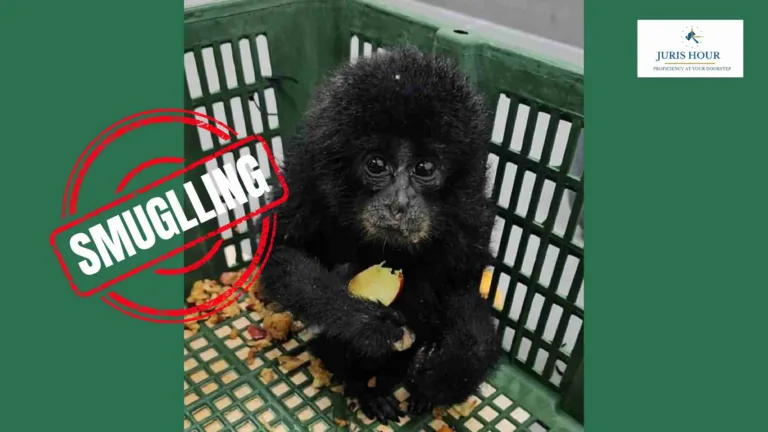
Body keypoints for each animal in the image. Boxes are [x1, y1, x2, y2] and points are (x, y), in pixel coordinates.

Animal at [259, 46, 502, 424]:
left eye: (424, 168)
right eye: (376, 164)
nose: (399, 203)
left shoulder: (471, 212)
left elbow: (460, 286)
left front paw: (445, 374)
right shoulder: (306, 176)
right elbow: (281, 256)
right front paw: (367, 323)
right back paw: (367, 389)